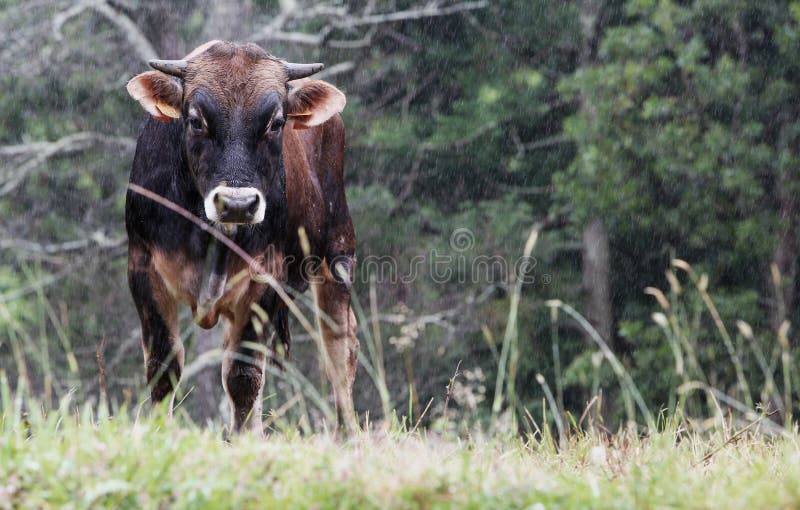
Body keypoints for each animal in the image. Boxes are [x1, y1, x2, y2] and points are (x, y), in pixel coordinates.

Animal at [124, 40, 358, 435]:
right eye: (196, 120)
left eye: (276, 123)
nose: (237, 203)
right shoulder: (143, 267)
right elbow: (163, 366)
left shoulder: (265, 279)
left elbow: (243, 375)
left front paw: (242, 439)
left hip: (337, 254)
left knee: (339, 350)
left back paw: (347, 434)